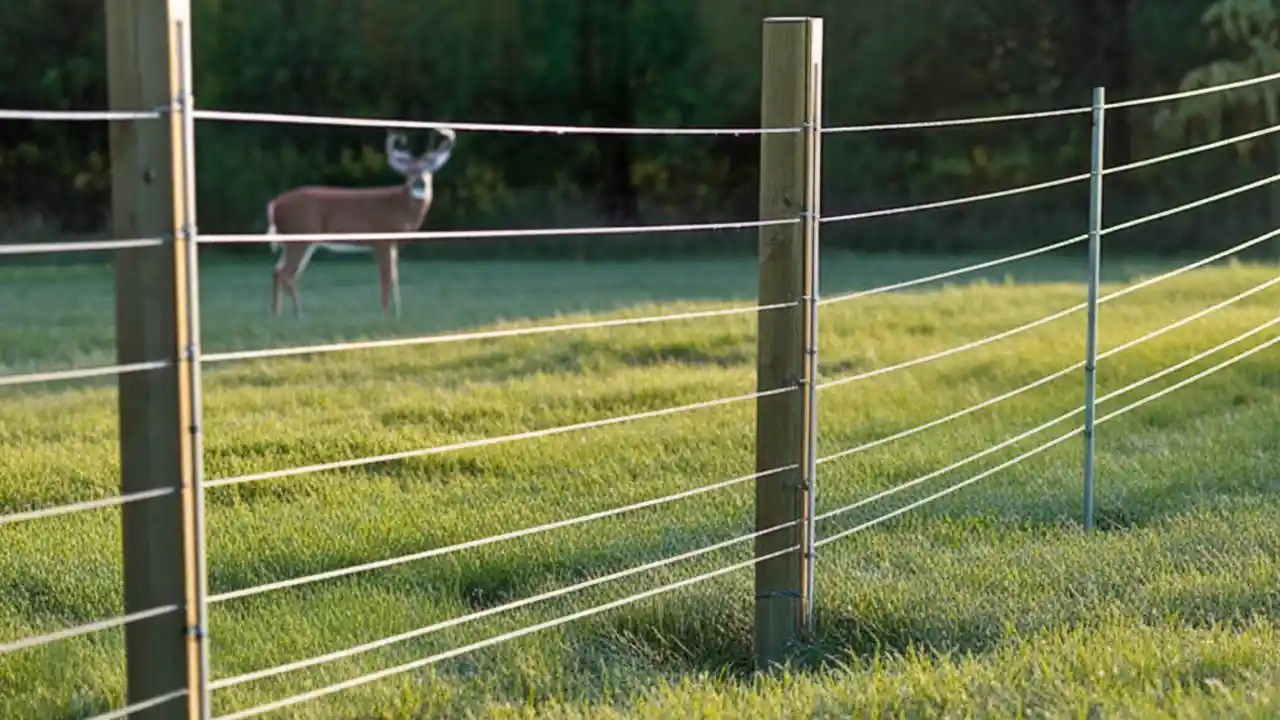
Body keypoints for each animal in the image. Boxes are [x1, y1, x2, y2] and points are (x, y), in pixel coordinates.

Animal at [266, 127, 457, 319]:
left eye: (429, 169)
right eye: (408, 170)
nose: (420, 182)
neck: (399, 206)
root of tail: (274, 204)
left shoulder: (392, 243)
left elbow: (395, 277)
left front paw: (398, 314)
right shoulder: (381, 239)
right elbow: (386, 277)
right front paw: (385, 314)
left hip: (298, 240)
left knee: (278, 271)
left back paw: (277, 315)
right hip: (300, 235)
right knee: (286, 273)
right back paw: (299, 314)